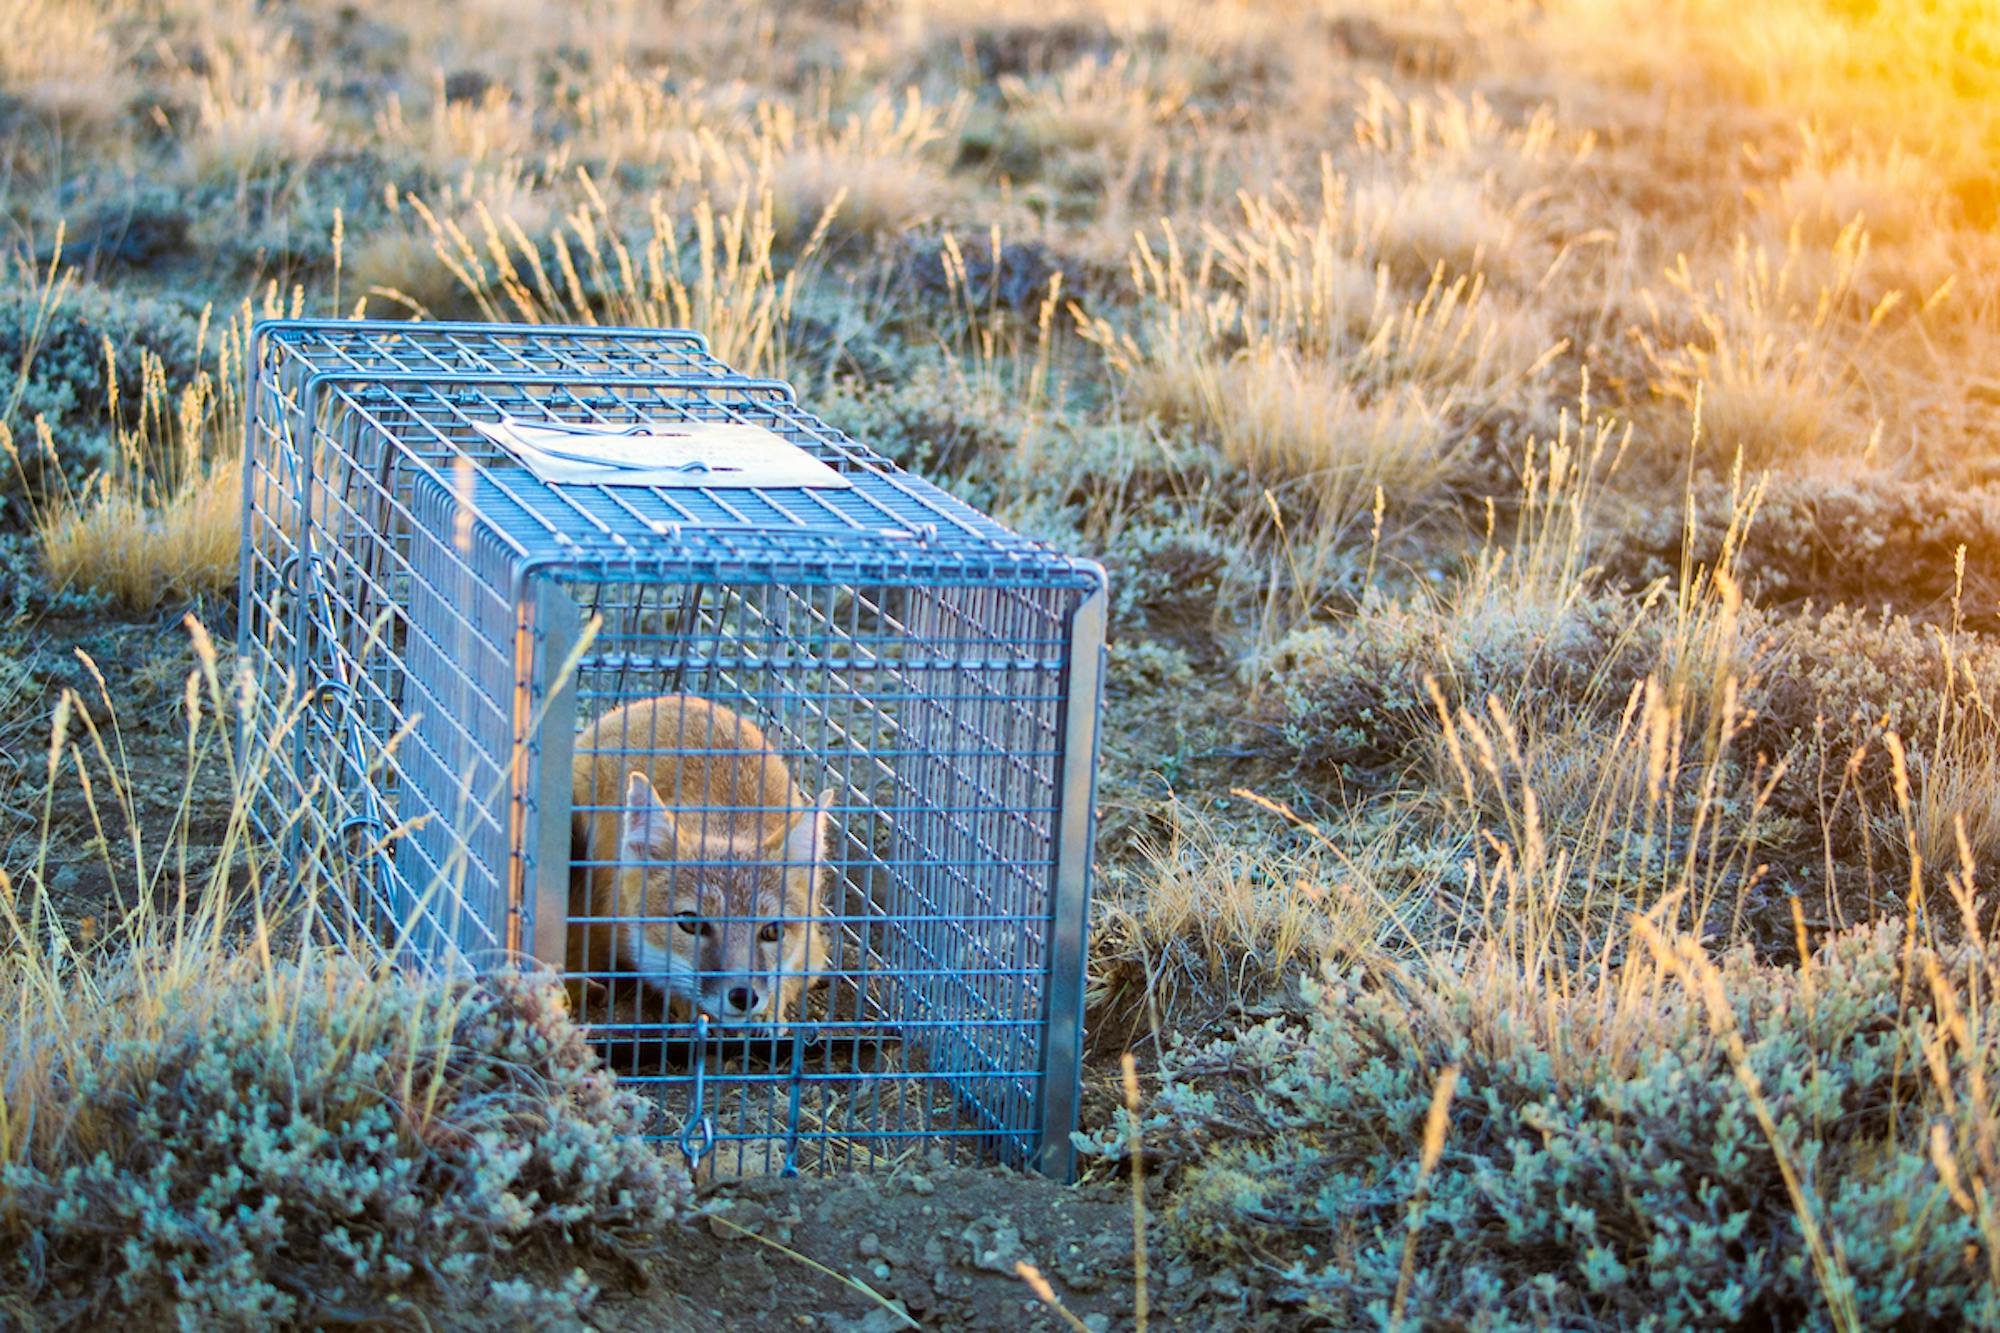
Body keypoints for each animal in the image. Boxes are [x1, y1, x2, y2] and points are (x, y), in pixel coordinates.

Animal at [568, 695, 831, 1028]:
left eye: (773, 932)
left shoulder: (813, 953)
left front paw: (769, 1014)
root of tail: (675, 698)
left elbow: (787, 980)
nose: (743, 996)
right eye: (691, 924)